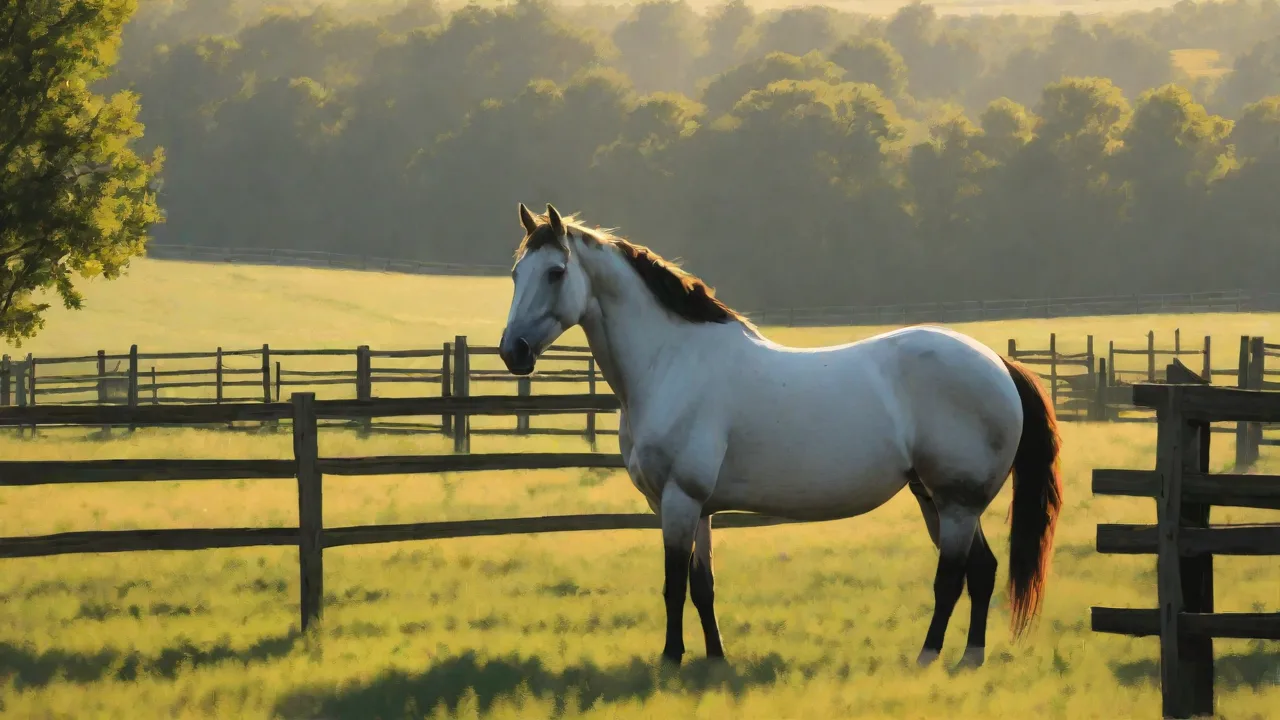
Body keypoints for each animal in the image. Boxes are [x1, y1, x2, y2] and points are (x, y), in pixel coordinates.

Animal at [498, 202, 1063, 670]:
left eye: (555, 272)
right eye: (516, 273)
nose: (513, 352)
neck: (672, 362)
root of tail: (998, 363)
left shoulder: (679, 500)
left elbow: (673, 585)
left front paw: (671, 659)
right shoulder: (696, 507)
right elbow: (703, 586)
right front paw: (716, 660)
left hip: (957, 503)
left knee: (951, 579)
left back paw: (927, 658)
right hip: (938, 501)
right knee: (982, 571)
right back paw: (969, 658)